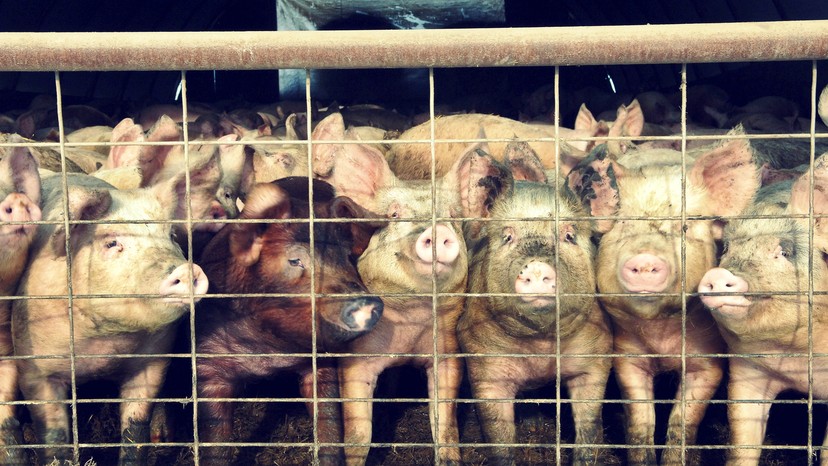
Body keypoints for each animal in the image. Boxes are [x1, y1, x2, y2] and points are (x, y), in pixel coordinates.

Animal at [11, 153, 220, 465]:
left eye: (171, 235)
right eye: (111, 243)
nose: (185, 269)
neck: (105, 349)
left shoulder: (153, 361)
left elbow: (135, 429)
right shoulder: (35, 368)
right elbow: (54, 436)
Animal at [195, 178, 384, 465]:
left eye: (347, 258)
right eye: (295, 260)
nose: (367, 301)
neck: (268, 351)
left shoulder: (321, 361)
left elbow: (328, 422)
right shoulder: (209, 365)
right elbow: (215, 437)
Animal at [312, 112, 511, 465]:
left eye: (453, 216)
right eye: (393, 214)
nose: (438, 229)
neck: (411, 322)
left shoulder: (447, 349)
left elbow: (444, 422)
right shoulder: (355, 355)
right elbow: (359, 432)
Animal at [457, 146, 613, 465]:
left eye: (569, 235)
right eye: (507, 236)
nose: (537, 266)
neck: (541, 346)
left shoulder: (597, 352)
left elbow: (589, 425)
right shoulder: (483, 359)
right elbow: (498, 435)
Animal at [566, 128, 761, 465]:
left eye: (684, 228)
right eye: (623, 225)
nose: (645, 259)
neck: (661, 335)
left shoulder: (708, 360)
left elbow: (683, 422)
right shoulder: (627, 355)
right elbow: (640, 422)